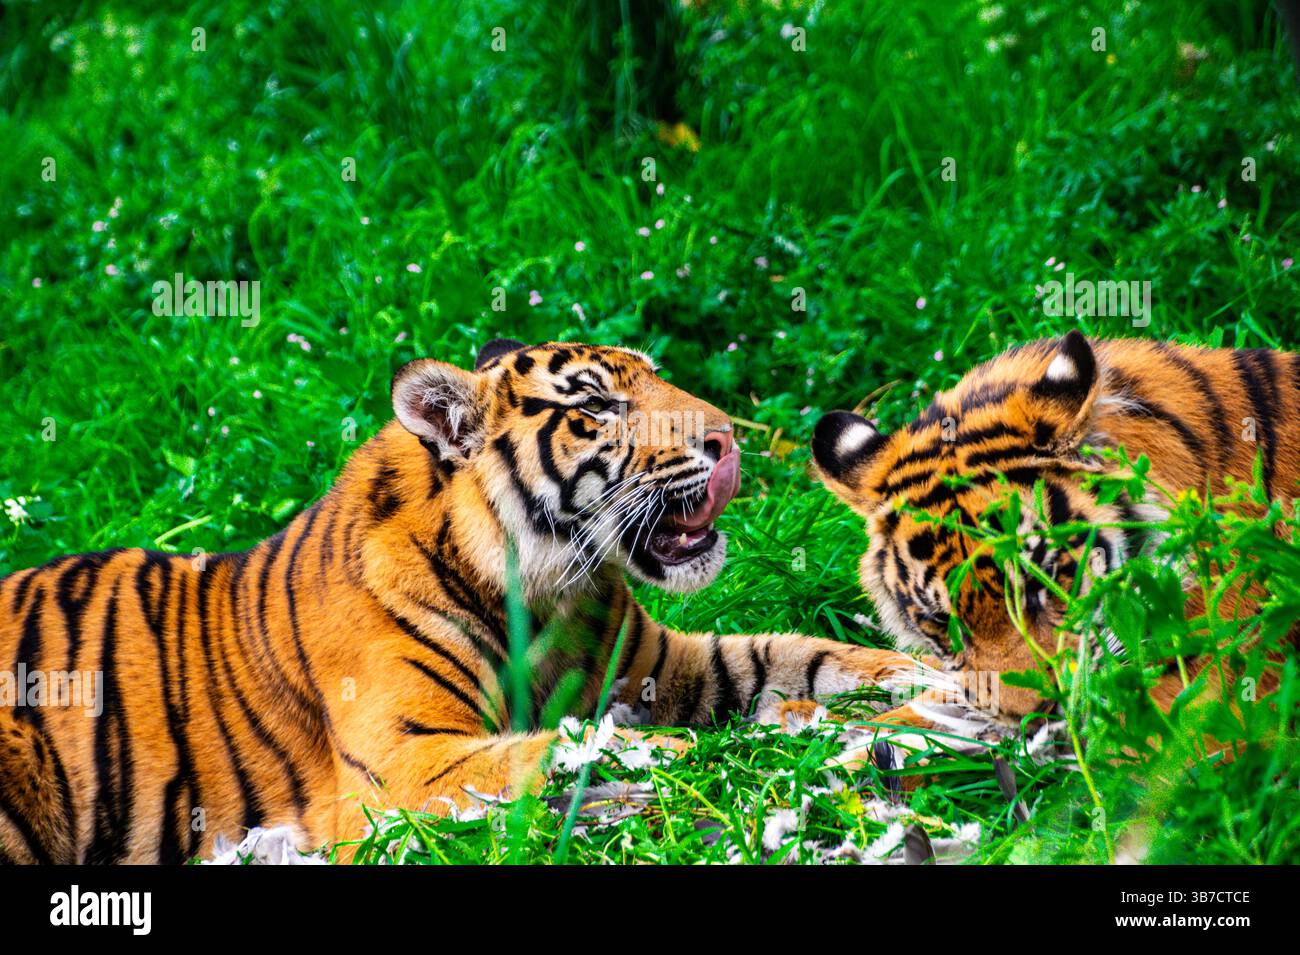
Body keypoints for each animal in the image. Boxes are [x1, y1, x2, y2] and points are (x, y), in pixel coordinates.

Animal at [0, 338, 923, 864]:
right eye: (597, 405)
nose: (728, 439)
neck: (551, 593)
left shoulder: (672, 665)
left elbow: (801, 651)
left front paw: (926, 684)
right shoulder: (408, 758)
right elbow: (624, 748)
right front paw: (785, 751)